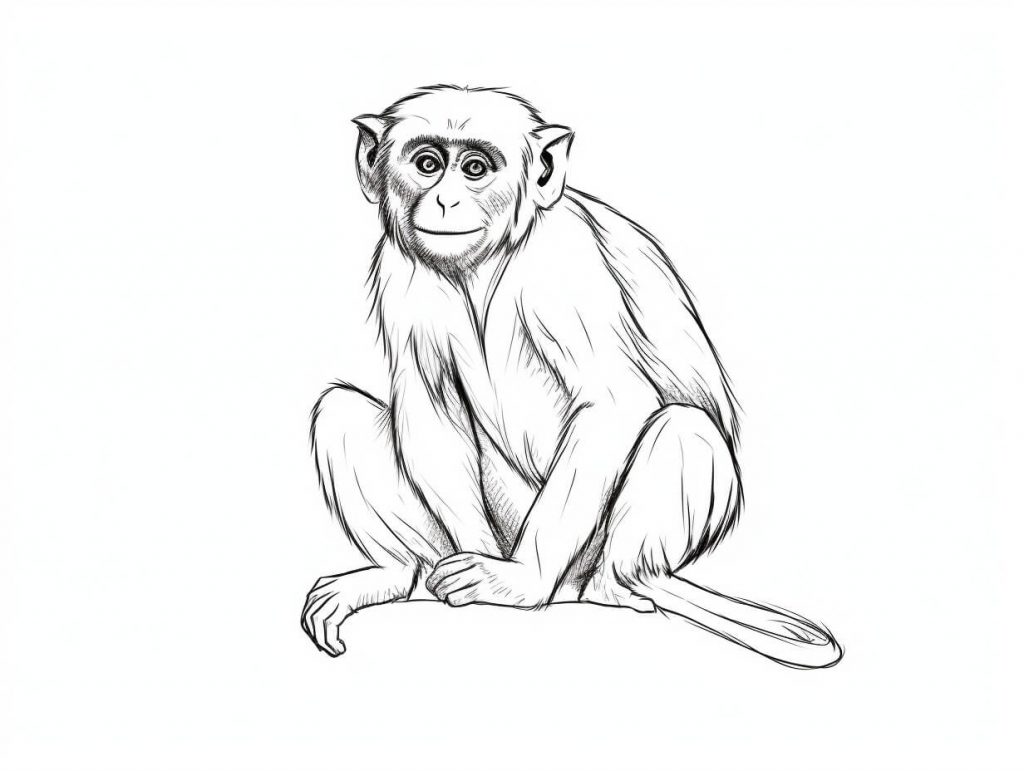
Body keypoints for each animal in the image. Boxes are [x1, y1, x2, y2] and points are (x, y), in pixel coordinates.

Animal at [301, 85, 842, 668]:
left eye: (475, 168)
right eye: (427, 164)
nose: (445, 201)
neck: (489, 260)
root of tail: (575, 588)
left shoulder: (562, 262)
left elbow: (613, 402)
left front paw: (516, 582)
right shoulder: (401, 271)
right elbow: (430, 413)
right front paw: (467, 574)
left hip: (588, 550)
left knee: (684, 429)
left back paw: (622, 586)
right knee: (339, 412)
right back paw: (401, 573)